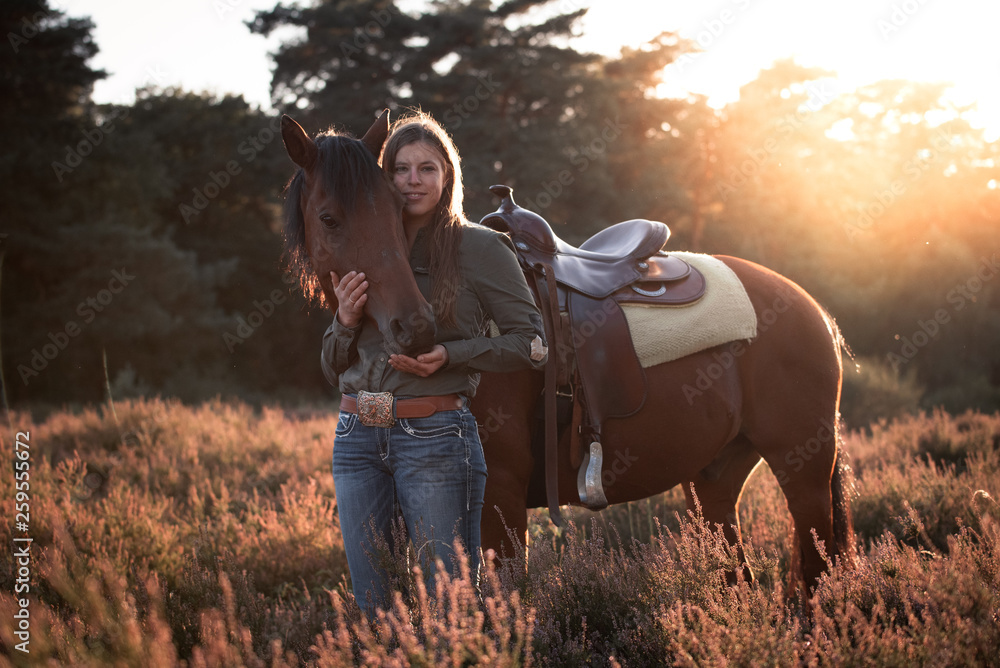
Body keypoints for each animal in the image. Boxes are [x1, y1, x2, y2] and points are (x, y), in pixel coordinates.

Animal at [279, 111, 855, 592]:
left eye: (397, 207)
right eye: (329, 218)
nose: (416, 329)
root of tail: (814, 310)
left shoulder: (499, 499)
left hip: (803, 469)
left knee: (816, 575)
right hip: (713, 476)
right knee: (740, 577)